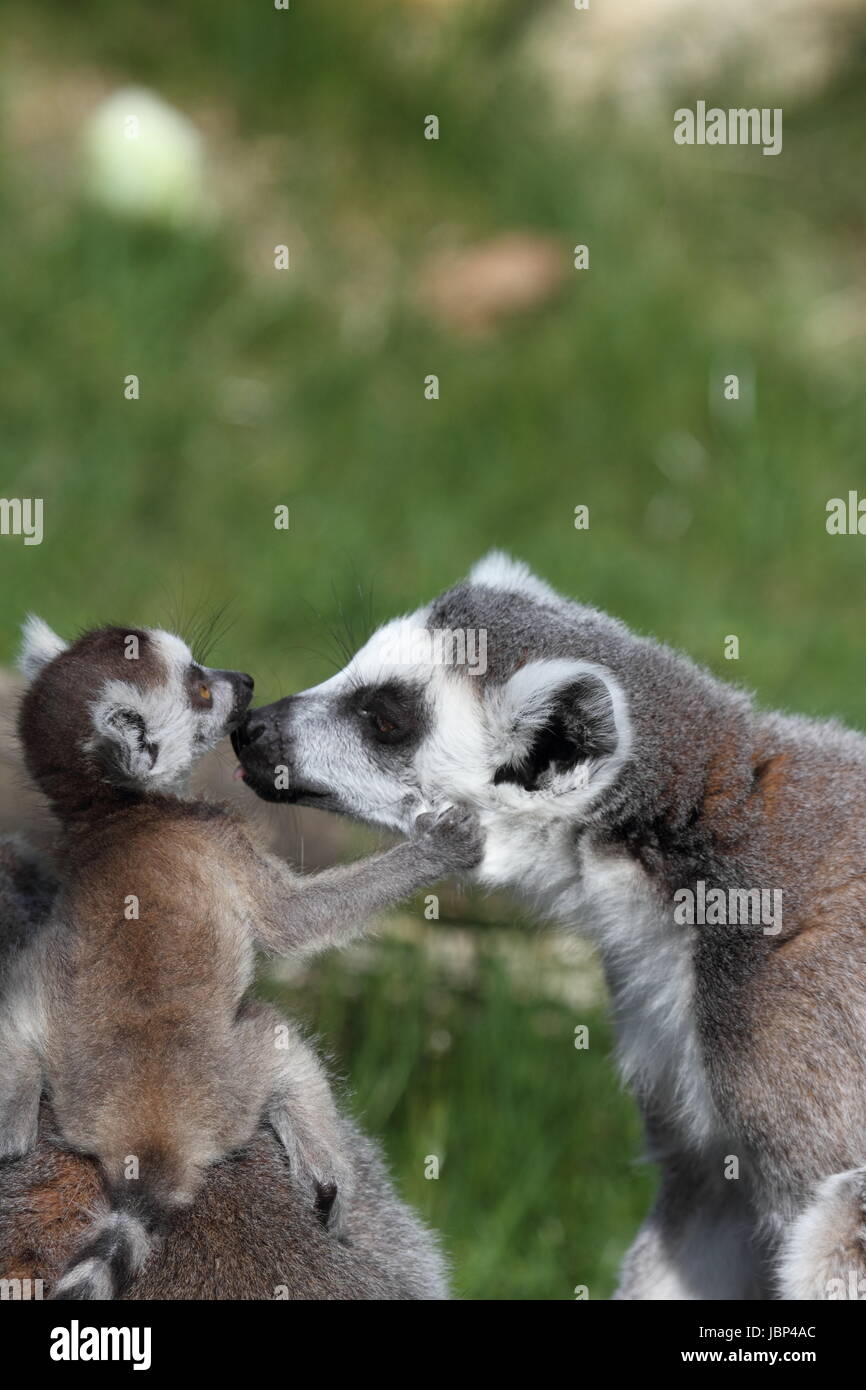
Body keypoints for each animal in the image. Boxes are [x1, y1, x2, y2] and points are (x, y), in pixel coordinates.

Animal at [0, 617, 481, 1299]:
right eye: (201, 691)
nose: (247, 682)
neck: (110, 811)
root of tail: (151, 1142)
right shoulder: (216, 834)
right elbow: (292, 922)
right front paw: (441, 848)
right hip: (237, 1076)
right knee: (278, 1039)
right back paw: (325, 1165)